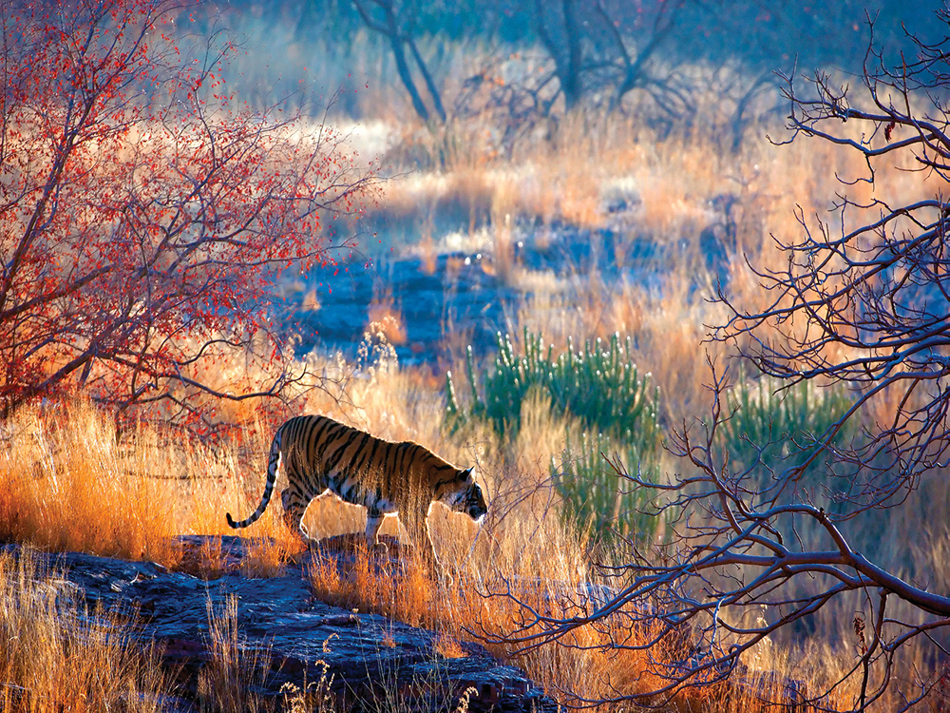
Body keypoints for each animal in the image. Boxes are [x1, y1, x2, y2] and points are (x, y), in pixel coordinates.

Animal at [226, 415, 488, 559]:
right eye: (477, 494)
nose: (486, 510)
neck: (440, 483)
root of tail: (288, 422)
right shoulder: (412, 513)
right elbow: (425, 542)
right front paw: (438, 569)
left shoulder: (377, 505)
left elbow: (372, 526)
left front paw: (375, 546)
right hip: (308, 480)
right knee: (290, 508)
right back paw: (307, 540)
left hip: (305, 481)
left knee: (284, 495)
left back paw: (303, 530)